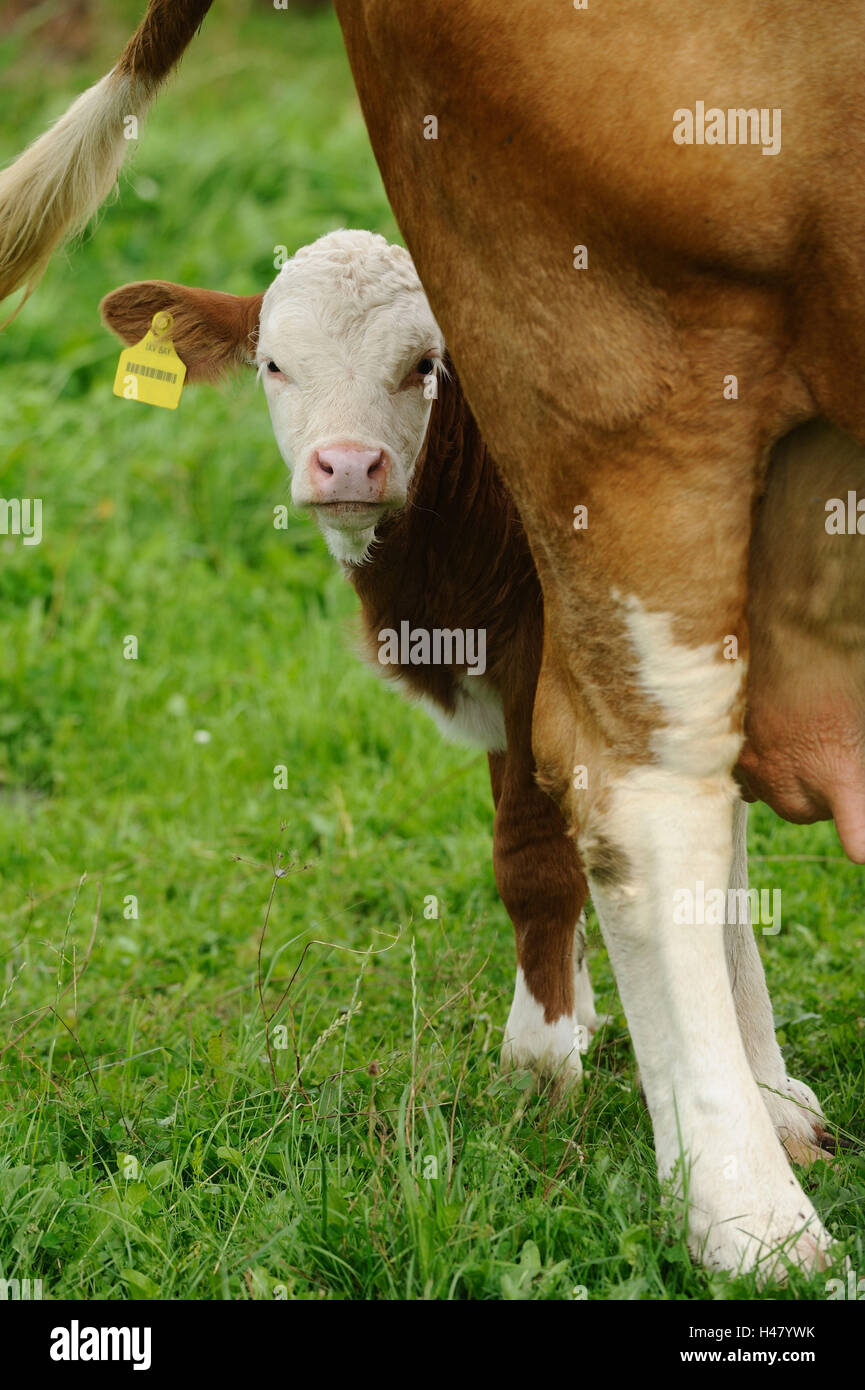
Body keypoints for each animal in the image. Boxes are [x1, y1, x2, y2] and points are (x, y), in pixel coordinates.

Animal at [0, 0, 862, 1277]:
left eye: (423, 365)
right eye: (272, 362)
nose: (344, 465)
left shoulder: (533, 632)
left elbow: (542, 844)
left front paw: (546, 1054)